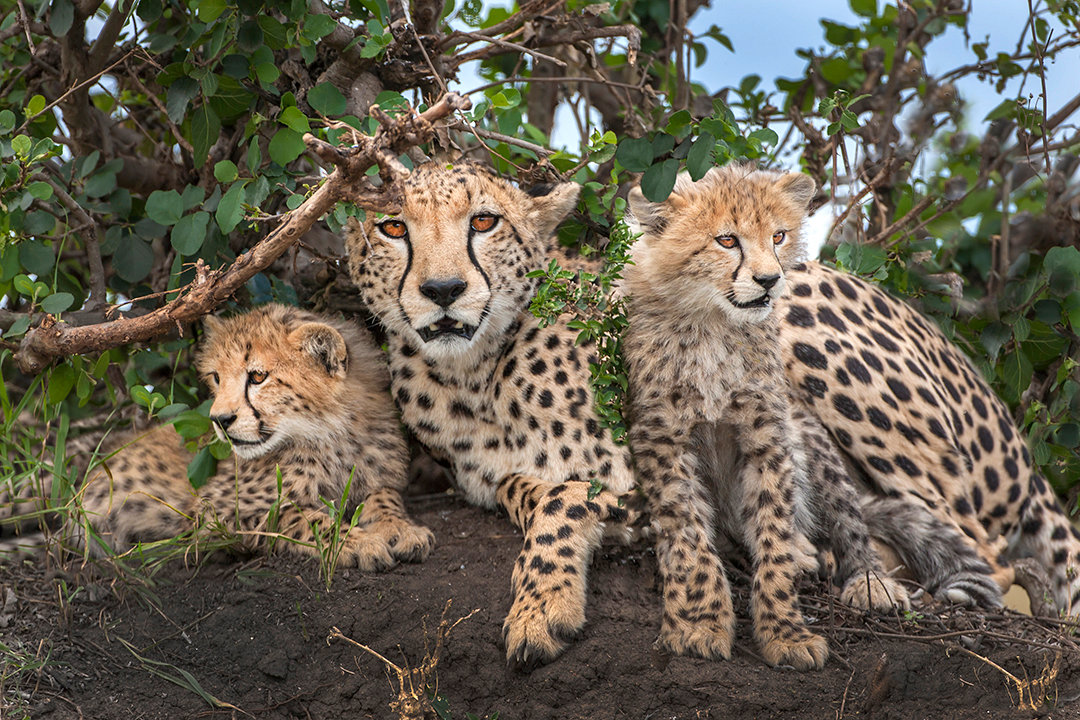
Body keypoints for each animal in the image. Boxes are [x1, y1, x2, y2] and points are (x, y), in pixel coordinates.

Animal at [2, 304, 433, 571]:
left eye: (257, 376)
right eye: (216, 377)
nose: (219, 420)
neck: (331, 433)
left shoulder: (375, 475)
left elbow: (384, 497)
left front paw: (399, 529)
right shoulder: (216, 511)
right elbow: (302, 517)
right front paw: (357, 543)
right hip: (33, 486)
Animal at [345, 162, 635, 668]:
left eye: (483, 221)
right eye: (393, 227)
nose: (443, 290)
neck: (477, 378)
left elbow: (564, 497)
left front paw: (539, 607)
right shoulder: (480, 477)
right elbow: (526, 487)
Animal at [622, 165, 909, 670]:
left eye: (778, 235)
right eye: (726, 240)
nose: (770, 279)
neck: (713, 324)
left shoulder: (767, 434)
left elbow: (774, 529)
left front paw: (785, 633)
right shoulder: (662, 436)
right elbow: (688, 535)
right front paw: (700, 623)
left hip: (809, 437)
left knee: (848, 519)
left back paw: (864, 578)